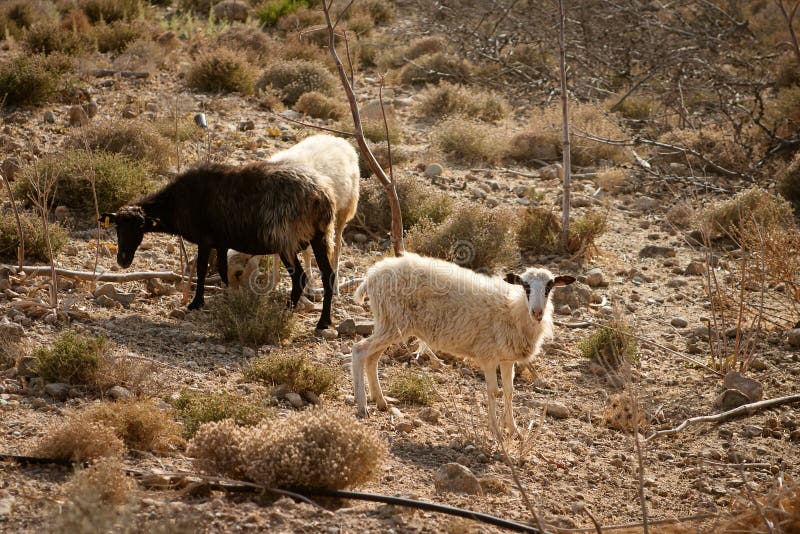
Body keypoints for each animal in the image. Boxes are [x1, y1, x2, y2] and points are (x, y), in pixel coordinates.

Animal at [99, 161, 337, 330]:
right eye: (117, 227)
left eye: (139, 227)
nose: (123, 259)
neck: (175, 203)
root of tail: (321, 196)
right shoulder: (222, 242)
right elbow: (222, 270)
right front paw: (229, 299)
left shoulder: (205, 240)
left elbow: (202, 270)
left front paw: (196, 303)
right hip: (320, 237)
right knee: (327, 276)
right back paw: (322, 321)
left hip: (286, 240)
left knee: (301, 277)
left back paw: (291, 312)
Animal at [350, 252, 575, 438]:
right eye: (525, 286)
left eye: (549, 287)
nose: (537, 312)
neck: (513, 308)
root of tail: (373, 274)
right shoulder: (488, 356)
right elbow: (493, 392)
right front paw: (496, 431)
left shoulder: (507, 358)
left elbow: (509, 392)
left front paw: (514, 430)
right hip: (393, 321)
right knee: (360, 350)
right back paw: (362, 406)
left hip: (390, 324)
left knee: (372, 358)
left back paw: (380, 401)